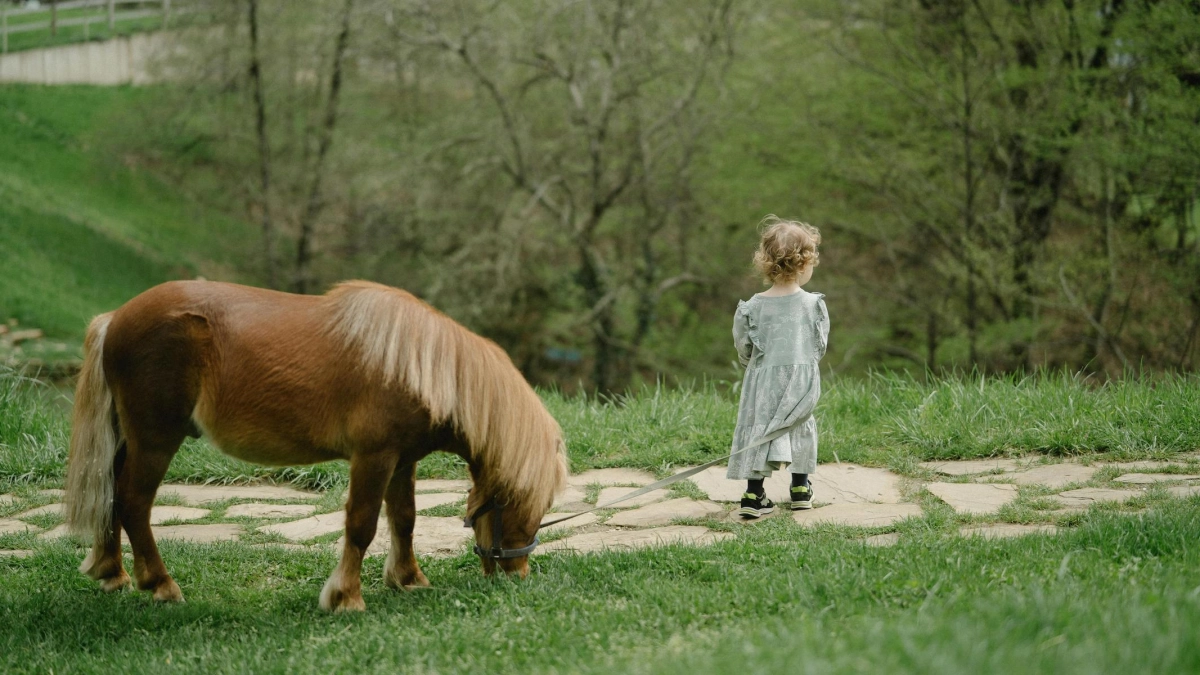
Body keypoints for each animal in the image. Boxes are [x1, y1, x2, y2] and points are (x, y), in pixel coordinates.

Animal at [63, 280, 568, 612]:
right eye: (529, 504)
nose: (517, 572)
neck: (416, 364)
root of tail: (115, 319)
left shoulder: (402, 461)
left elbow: (404, 520)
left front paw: (408, 579)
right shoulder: (374, 458)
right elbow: (362, 526)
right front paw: (346, 597)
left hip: (129, 440)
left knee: (110, 494)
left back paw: (113, 572)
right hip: (155, 441)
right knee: (133, 502)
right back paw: (160, 585)